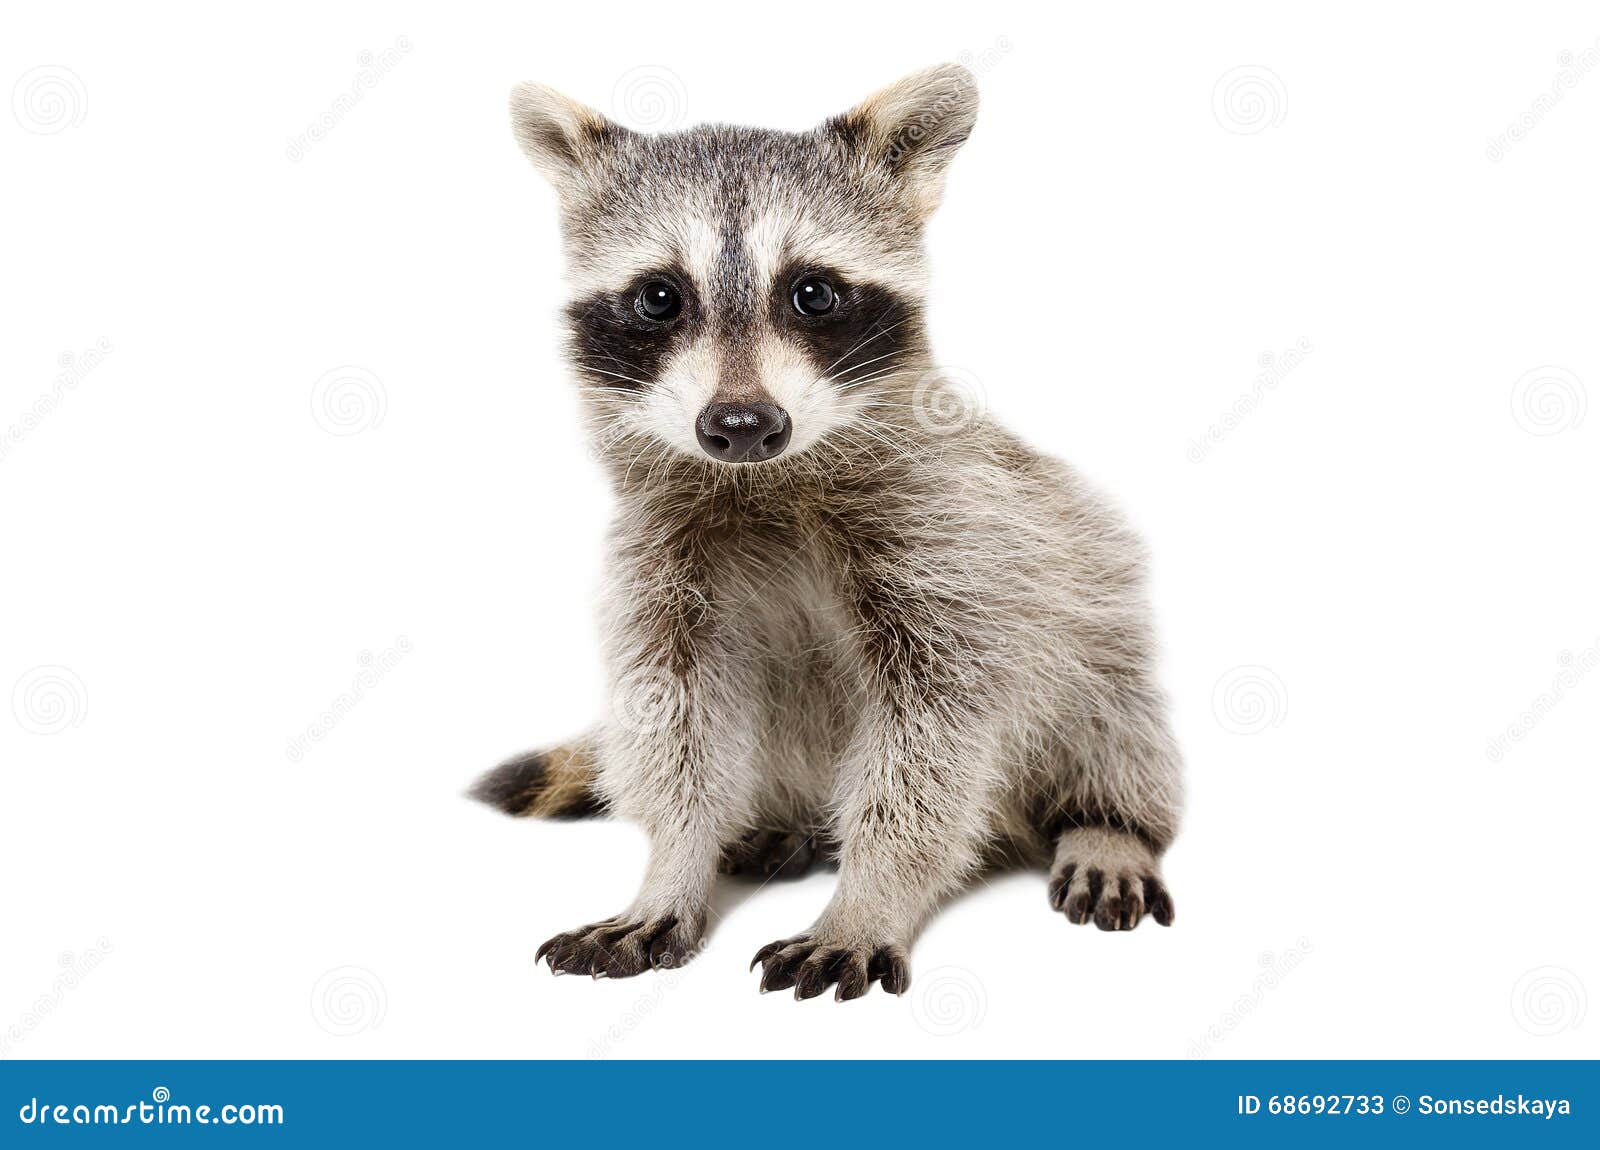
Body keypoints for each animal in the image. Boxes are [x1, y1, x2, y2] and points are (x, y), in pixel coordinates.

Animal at [472, 64, 1183, 1000]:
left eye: (812, 292)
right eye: (660, 296)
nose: (740, 424)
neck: (764, 483)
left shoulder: (956, 537)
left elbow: (934, 737)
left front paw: (870, 896)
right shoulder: (658, 563)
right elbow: (675, 720)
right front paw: (673, 864)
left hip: (1094, 605)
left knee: (1106, 707)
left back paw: (1108, 821)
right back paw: (779, 824)